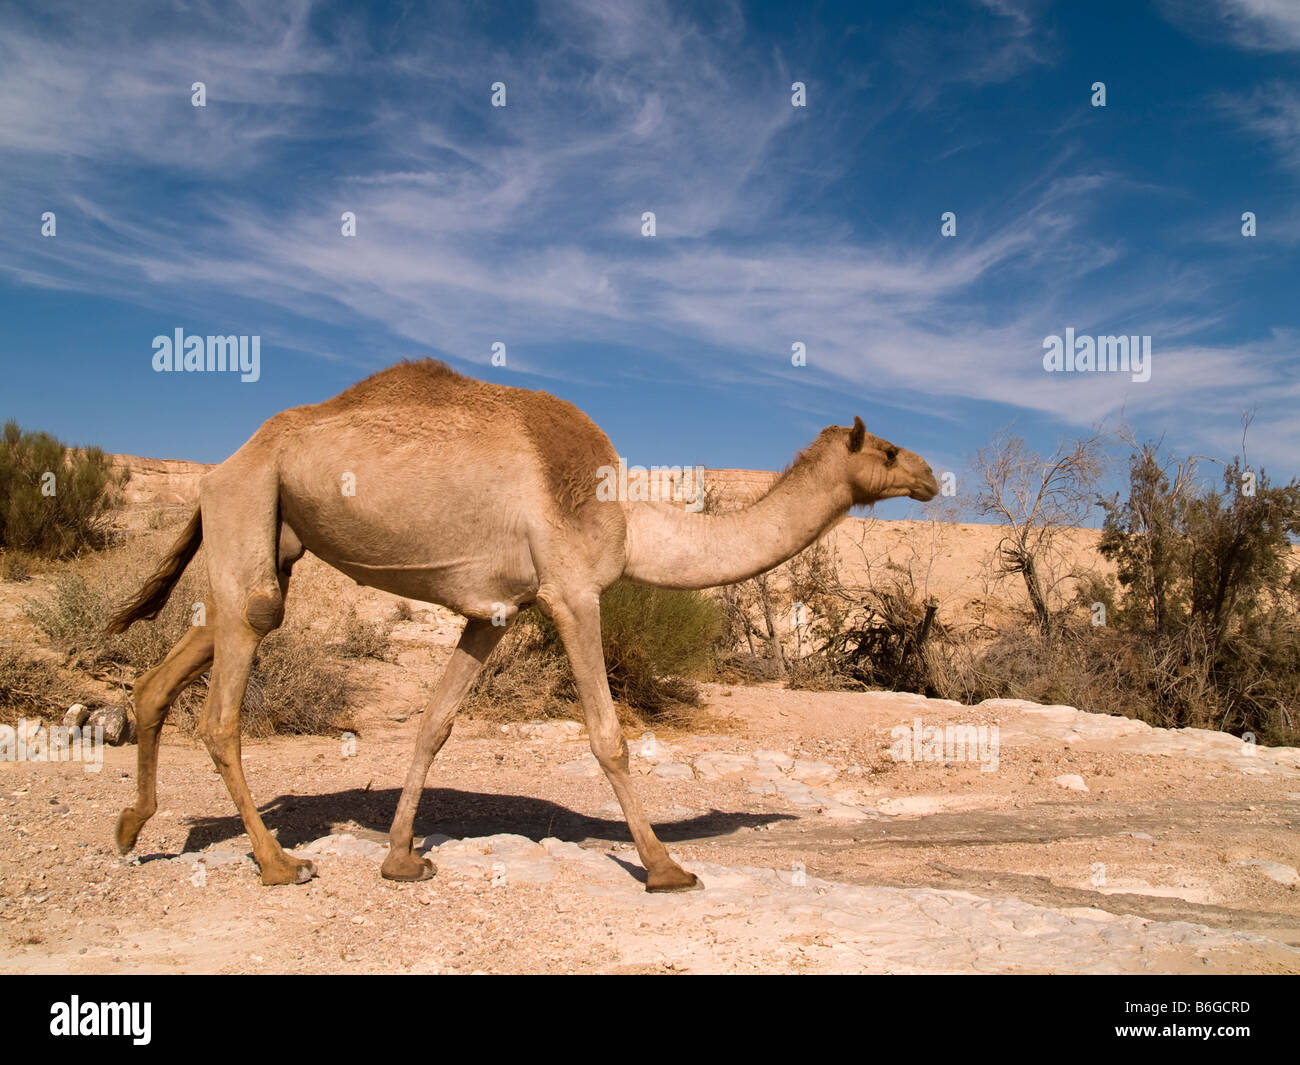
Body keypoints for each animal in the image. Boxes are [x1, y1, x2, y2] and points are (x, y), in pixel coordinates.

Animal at [105, 359, 938, 891]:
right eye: (888, 446)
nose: (930, 474)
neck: (625, 516)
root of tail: (221, 464)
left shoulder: (495, 612)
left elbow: (435, 722)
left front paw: (402, 857)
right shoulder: (573, 591)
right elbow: (608, 735)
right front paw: (666, 867)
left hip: (271, 533)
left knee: (181, 660)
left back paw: (131, 826)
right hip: (251, 502)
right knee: (224, 701)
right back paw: (280, 864)